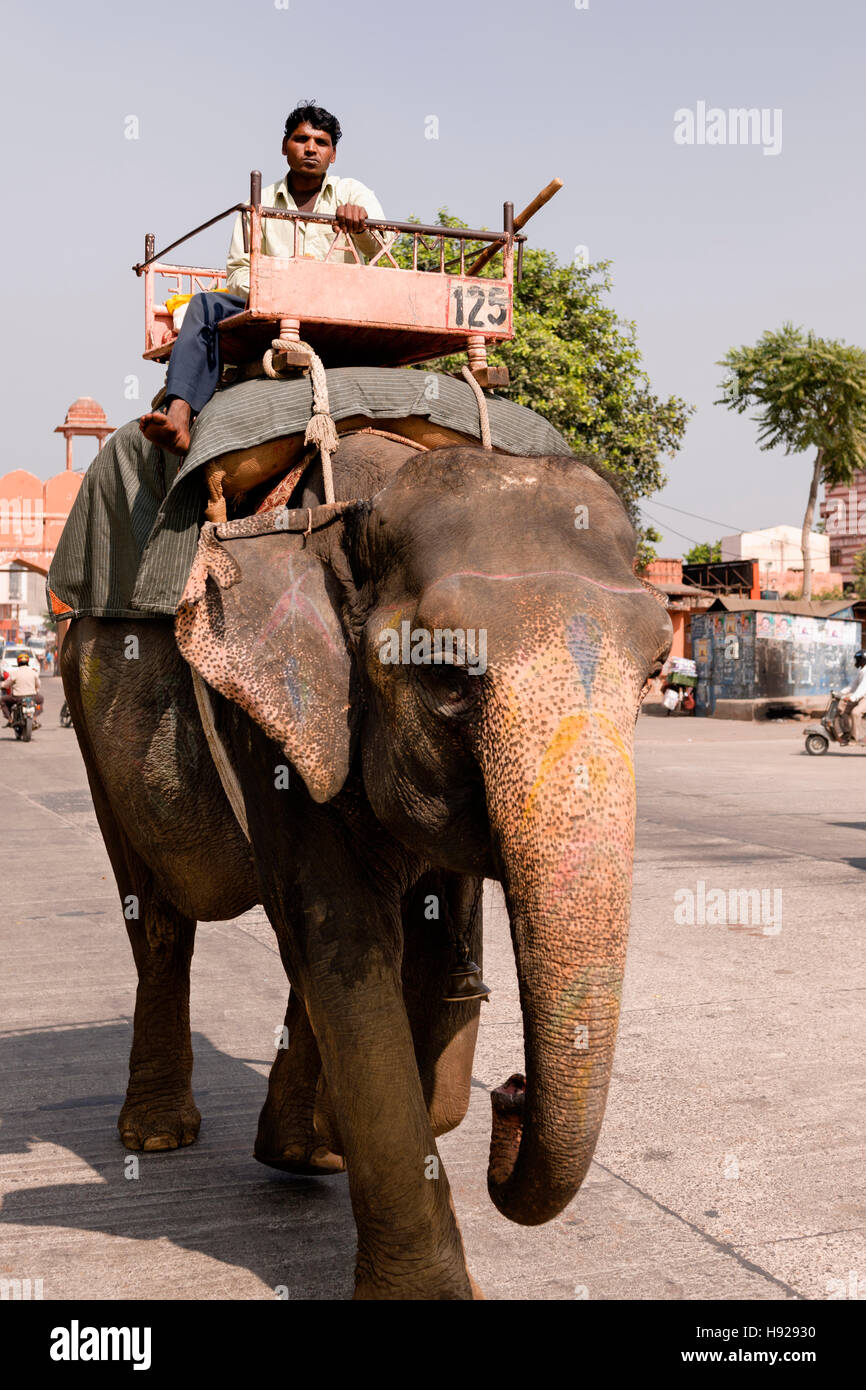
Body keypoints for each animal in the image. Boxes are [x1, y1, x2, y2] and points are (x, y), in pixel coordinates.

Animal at [61, 429, 672, 1299]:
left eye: (656, 670)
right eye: (446, 674)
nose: (514, 1092)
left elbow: (423, 961)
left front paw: (336, 1130)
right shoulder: (271, 720)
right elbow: (346, 946)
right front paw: (427, 1292)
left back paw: (301, 1148)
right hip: (86, 711)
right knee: (159, 921)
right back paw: (157, 1138)